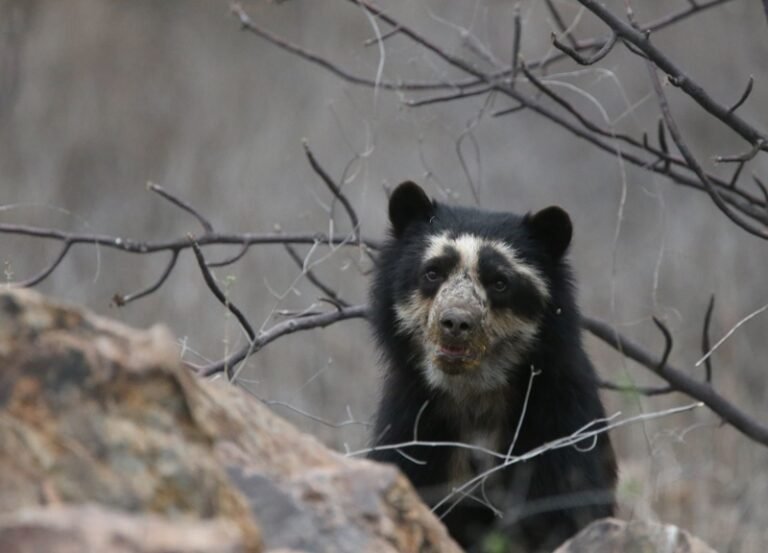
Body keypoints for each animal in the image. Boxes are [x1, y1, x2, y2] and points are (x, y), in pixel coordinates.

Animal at [367, 182, 616, 552]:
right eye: (432, 272)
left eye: (500, 282)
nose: (455, 323)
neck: (475, 393)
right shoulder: (413, 423)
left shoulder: (558, 424)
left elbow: (564, 508)